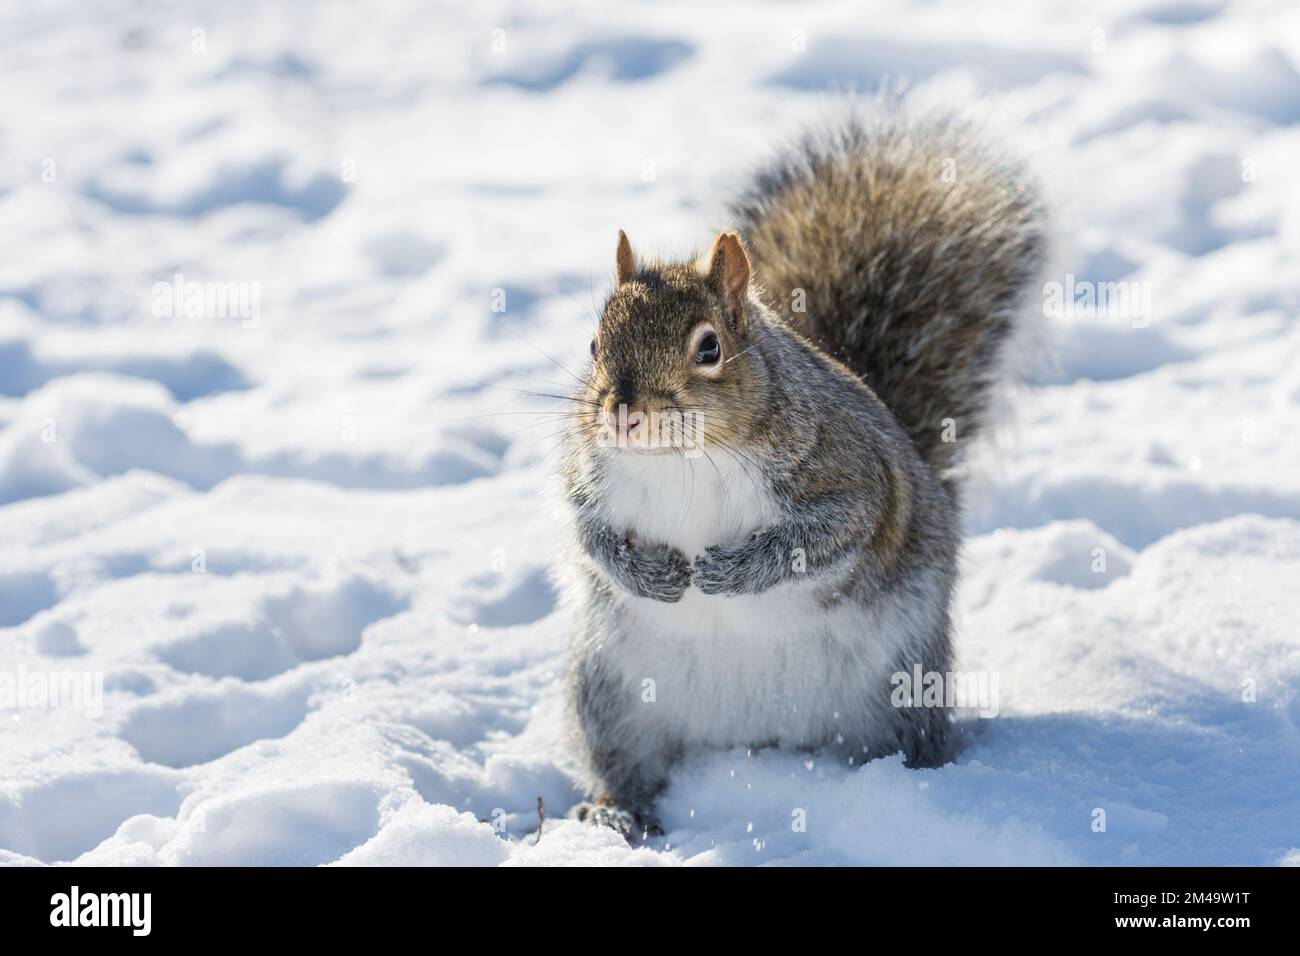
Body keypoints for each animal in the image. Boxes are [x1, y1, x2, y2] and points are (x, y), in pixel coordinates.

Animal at [556, 107, 1048, 840]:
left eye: (709, 348)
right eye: (594, 344)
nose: (623, 416)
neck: (684, 461)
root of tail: (751, 741)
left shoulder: (851, 477)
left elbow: (828, 536)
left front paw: (732, 571)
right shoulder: (586, 480)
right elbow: (589, 536)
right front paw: (649, 573)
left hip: (899, 691)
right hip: (609, 697)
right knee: (627, 766)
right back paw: (616, 812)